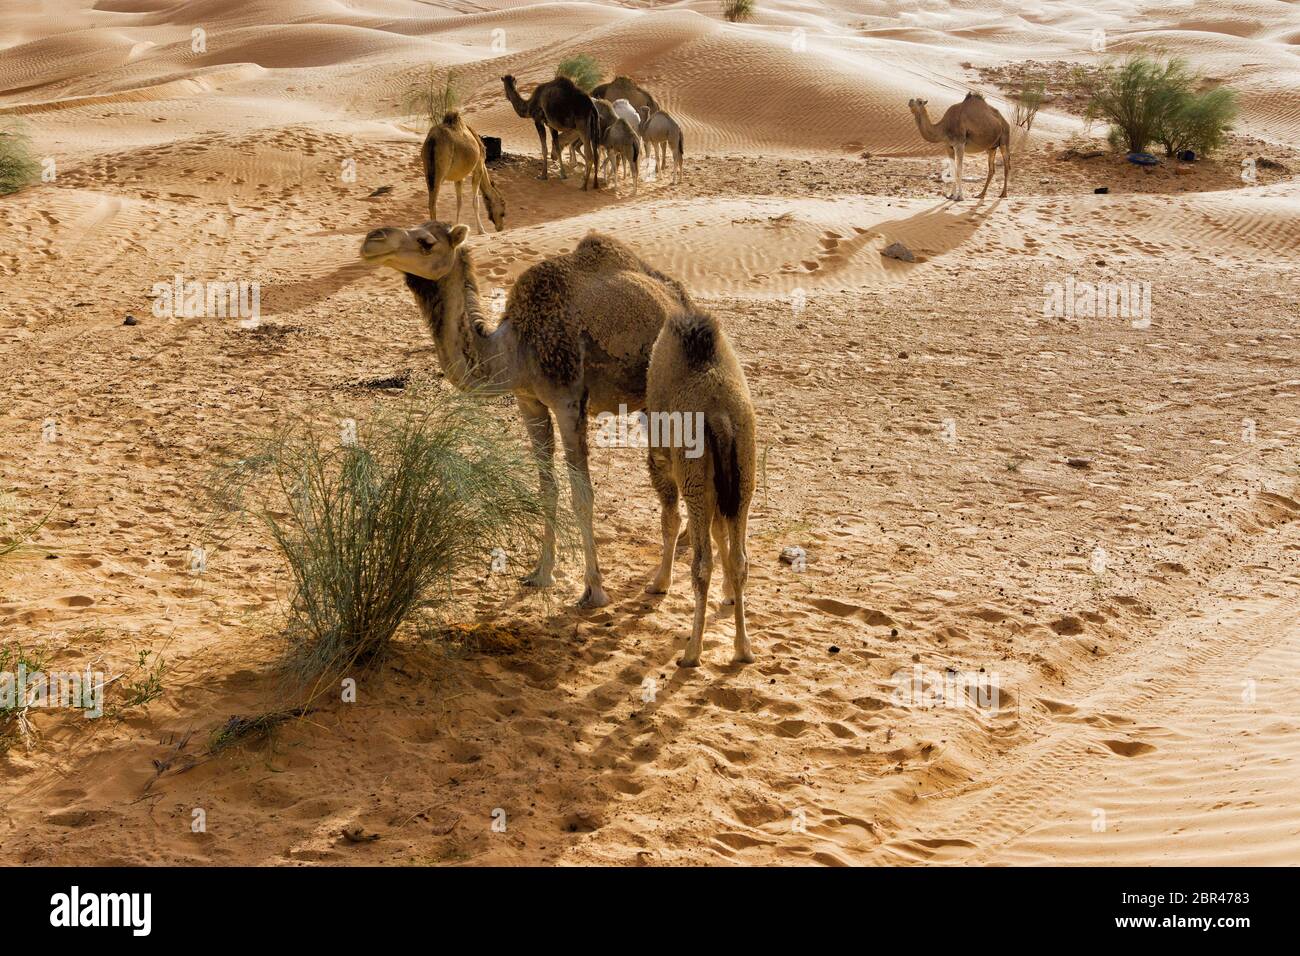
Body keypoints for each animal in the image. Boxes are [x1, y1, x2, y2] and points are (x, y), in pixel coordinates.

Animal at [360, 221, 693, 608]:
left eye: (427, 242)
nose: (372, 240)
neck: (516, 348)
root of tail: (678, 296)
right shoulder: (528, 401)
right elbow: (547, 487)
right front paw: (541, 572)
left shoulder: (568, 401)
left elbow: (583, 495)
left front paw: (594, 590)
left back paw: (666, 576)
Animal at [645, 305, 756, 667]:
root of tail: (719, 414)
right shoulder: (723, 488)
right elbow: (721, 532)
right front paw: (729, 595)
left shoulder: (662, 463)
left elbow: (669, 520)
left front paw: (660, 582)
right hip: (744, 474)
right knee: (740, 558)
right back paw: (743, 648)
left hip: (693, 474)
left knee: (700, 563)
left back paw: (692, 651)